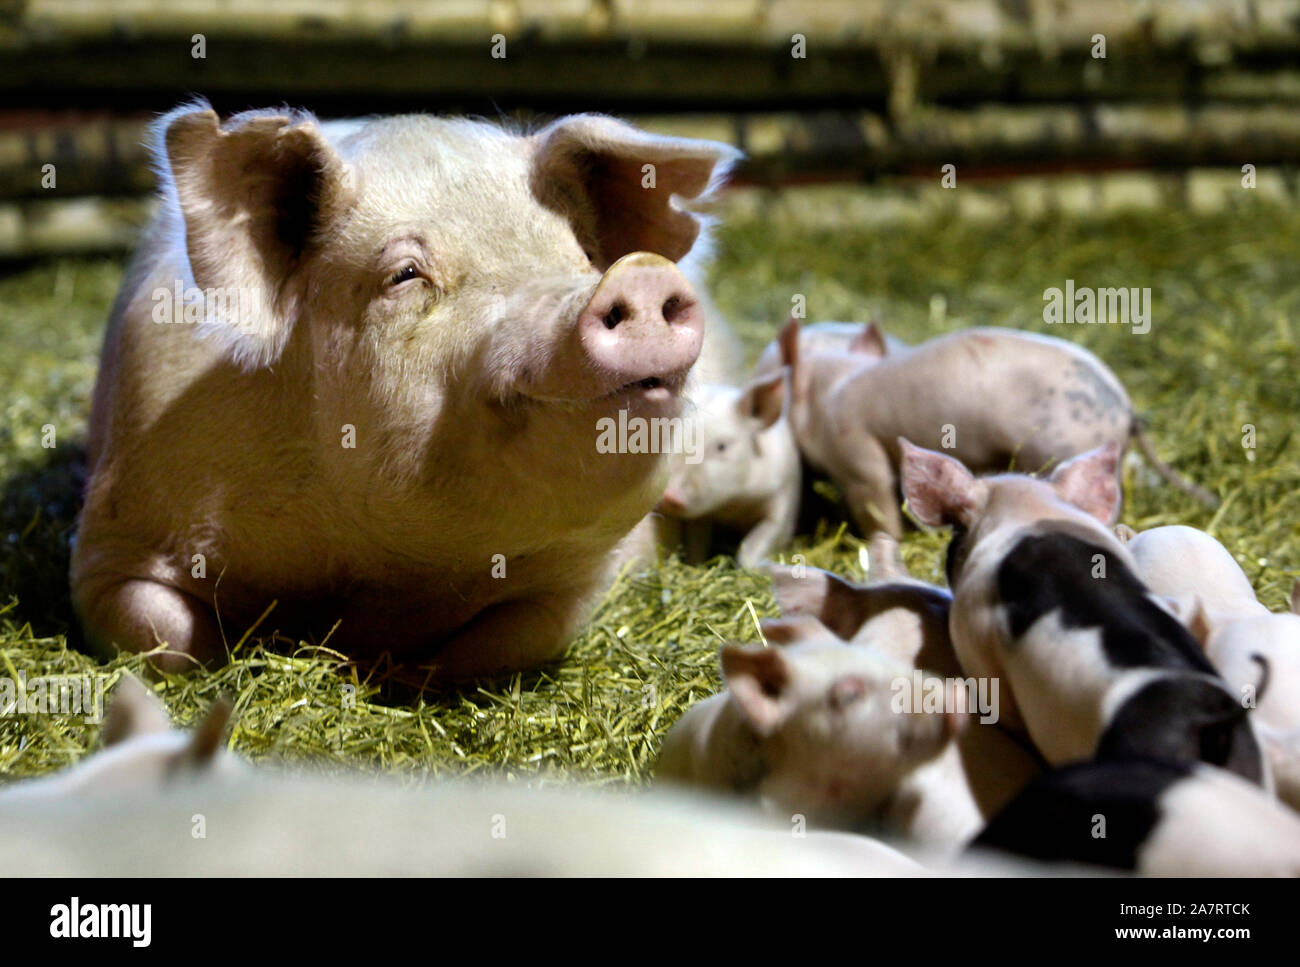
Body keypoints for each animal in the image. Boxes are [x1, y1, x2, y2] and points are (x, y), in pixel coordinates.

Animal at [71, 101, 741, 680]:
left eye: (579, 255)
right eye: (405, 275)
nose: (639, 274)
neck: (370, 572)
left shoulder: (581, 579)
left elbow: (516, 638)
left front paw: (393, 673)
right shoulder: (112, 534)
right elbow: (163, 631)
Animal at [655, 369, 800, 567]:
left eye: (721, 446)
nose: (670, 495)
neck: (733, 505)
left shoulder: (783, 501)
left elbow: (756, 542)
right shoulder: (700, 518)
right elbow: (696, 543)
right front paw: (696, 565)